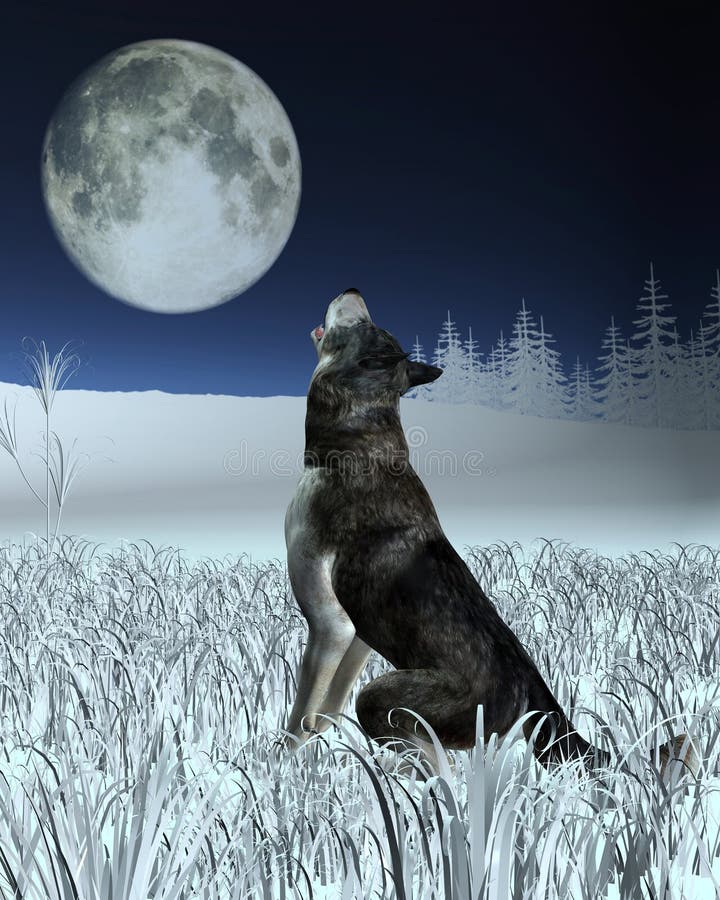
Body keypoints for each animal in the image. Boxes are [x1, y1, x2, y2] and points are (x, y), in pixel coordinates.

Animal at [281, 289, 700, 780]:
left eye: (362, 322)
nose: (354, 290)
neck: (358, 434)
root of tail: (534, 689)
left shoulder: (328, 622)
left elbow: (301, 713)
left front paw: (278, 762)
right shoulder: (356, 631)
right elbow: (326, 707)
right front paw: (317, 745)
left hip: (382, 700)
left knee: (439, 766)